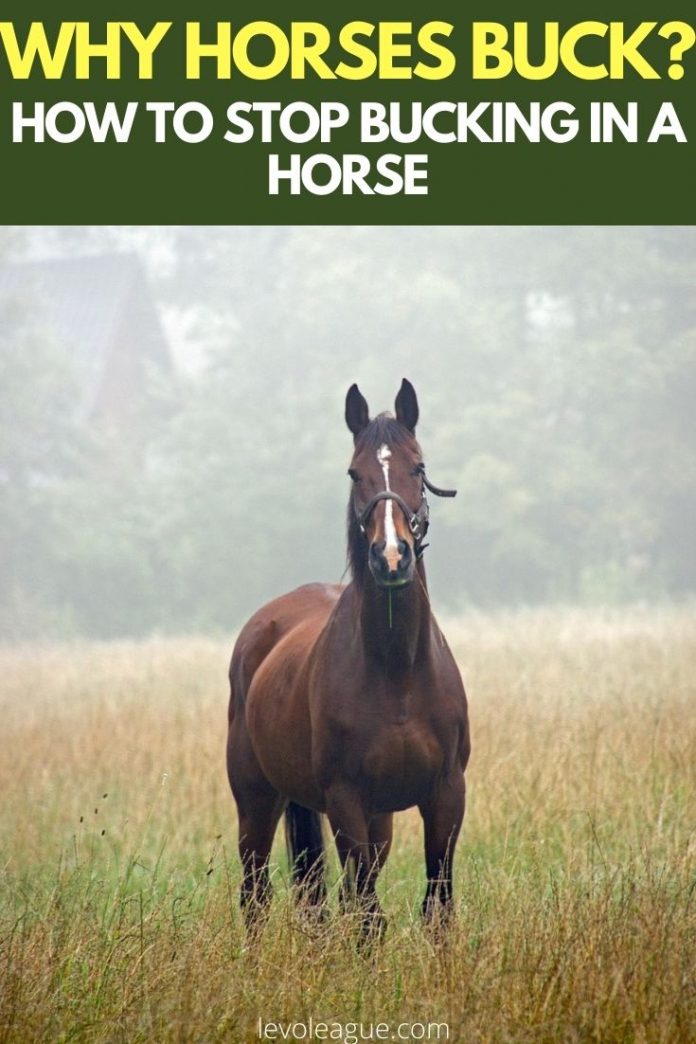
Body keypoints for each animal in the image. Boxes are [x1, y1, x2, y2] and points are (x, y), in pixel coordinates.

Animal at [226, 379, 470, 934]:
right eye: (355, 472)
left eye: (418, 467)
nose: (392, 557)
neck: (397, 673)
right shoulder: (346, 800)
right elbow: (366, 913)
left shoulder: (446, 795)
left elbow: (437, 906)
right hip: (256, 802)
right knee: (257, 895)